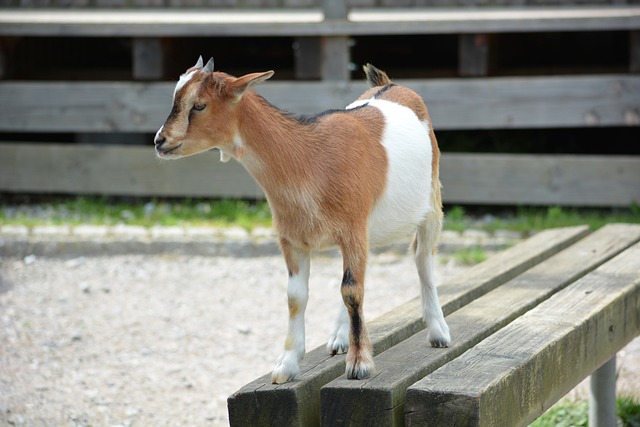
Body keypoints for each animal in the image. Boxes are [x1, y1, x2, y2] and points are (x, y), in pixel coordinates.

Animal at [154, 56, 451, 383]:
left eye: (199, 105)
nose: (159, 141)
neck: (310, 160)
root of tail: (390, 84)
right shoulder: (293, 239)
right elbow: (298, 296)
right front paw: (287, 364)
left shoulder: (352, 229)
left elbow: (351, 291)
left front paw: (359, 363)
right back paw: (339, 337)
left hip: (431, 202)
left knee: (422, 259)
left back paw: (438, 331)